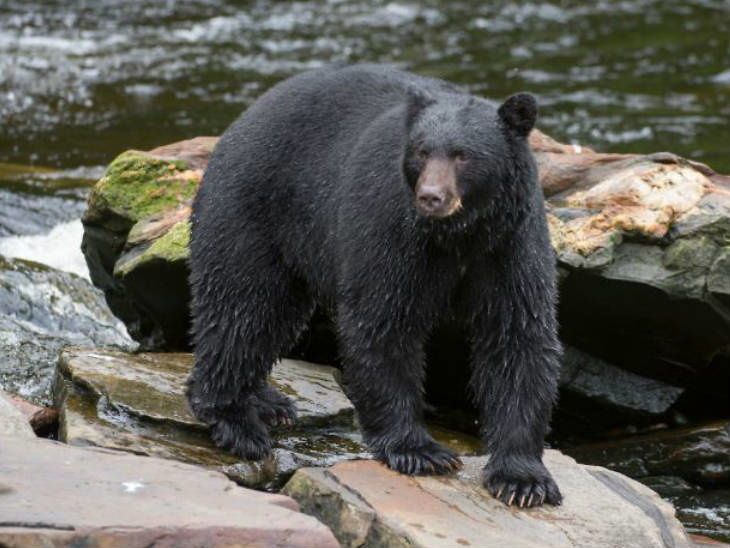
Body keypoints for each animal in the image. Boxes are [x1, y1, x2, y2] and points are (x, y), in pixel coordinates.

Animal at [187, 64, 563, 507]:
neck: (458, 236)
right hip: (254, 211)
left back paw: (268, 401)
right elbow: (383, 323)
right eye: (421, 151)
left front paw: (523, 479)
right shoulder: (391, 230)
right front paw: (419, 450)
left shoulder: (510, 244)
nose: (431, 196)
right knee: (243, 307)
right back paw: (236, 422)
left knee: (274, 317)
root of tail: (240, 121)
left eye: (463, 154)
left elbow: (518, 336)